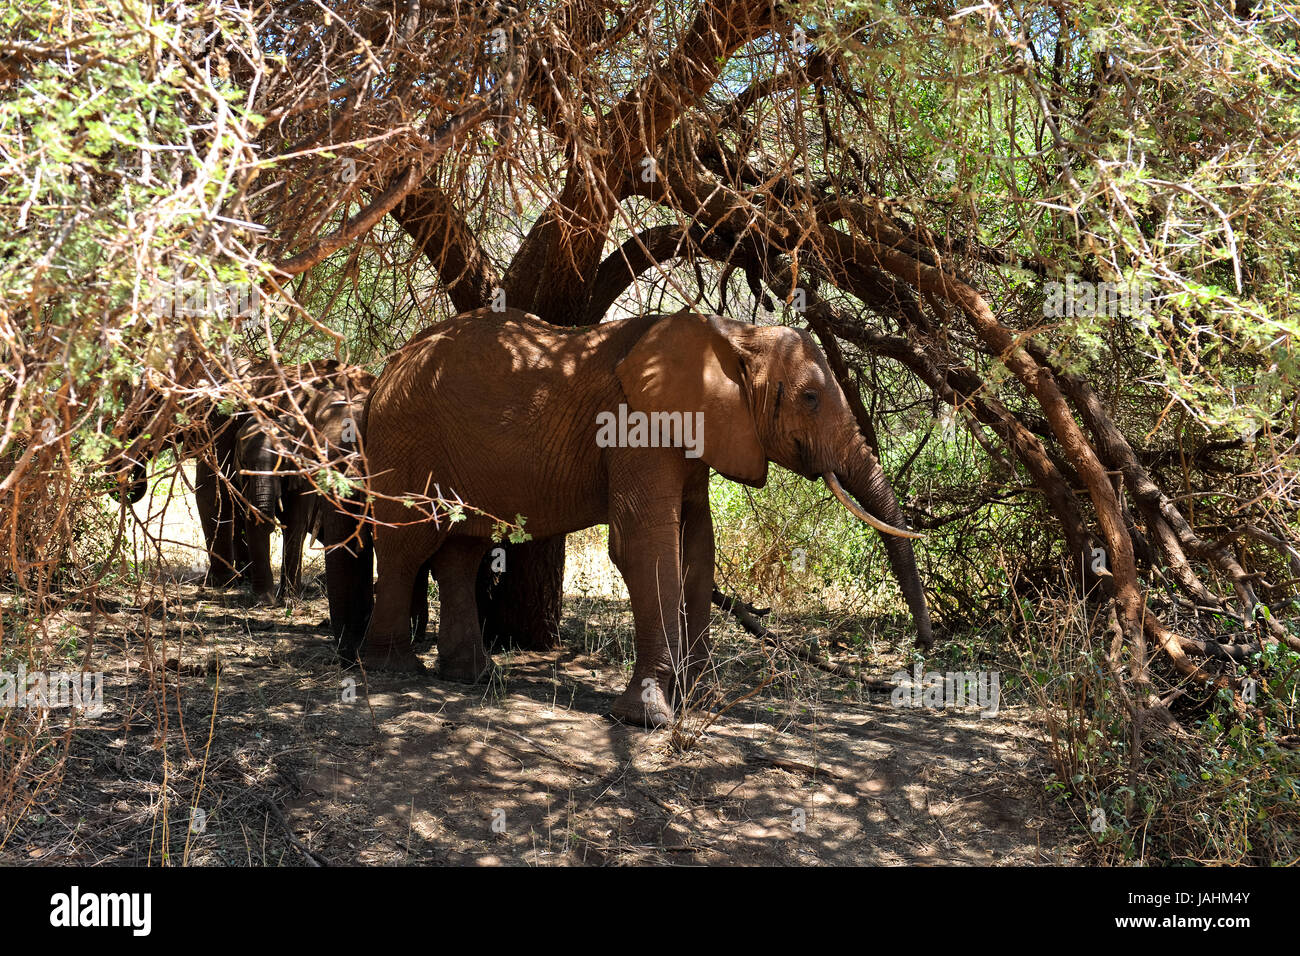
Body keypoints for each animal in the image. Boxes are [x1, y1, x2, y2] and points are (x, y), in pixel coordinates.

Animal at [233, 361, 376, 647]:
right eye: (243, 461)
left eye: (284, 463)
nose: (265, 602)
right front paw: (266, 600)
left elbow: (295, 523)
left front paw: (288, 599)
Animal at [355, 307, 932, 726]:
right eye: (810, 398)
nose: (923, 646)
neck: (734, 334)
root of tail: (386, 366)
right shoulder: (638, 424)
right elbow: (645, 545)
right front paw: (648, 717)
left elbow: (698, 547)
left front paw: (701, 700)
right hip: (405, 437)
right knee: (407, 543)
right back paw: (390, 667)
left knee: (463, 547)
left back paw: (471, 677)